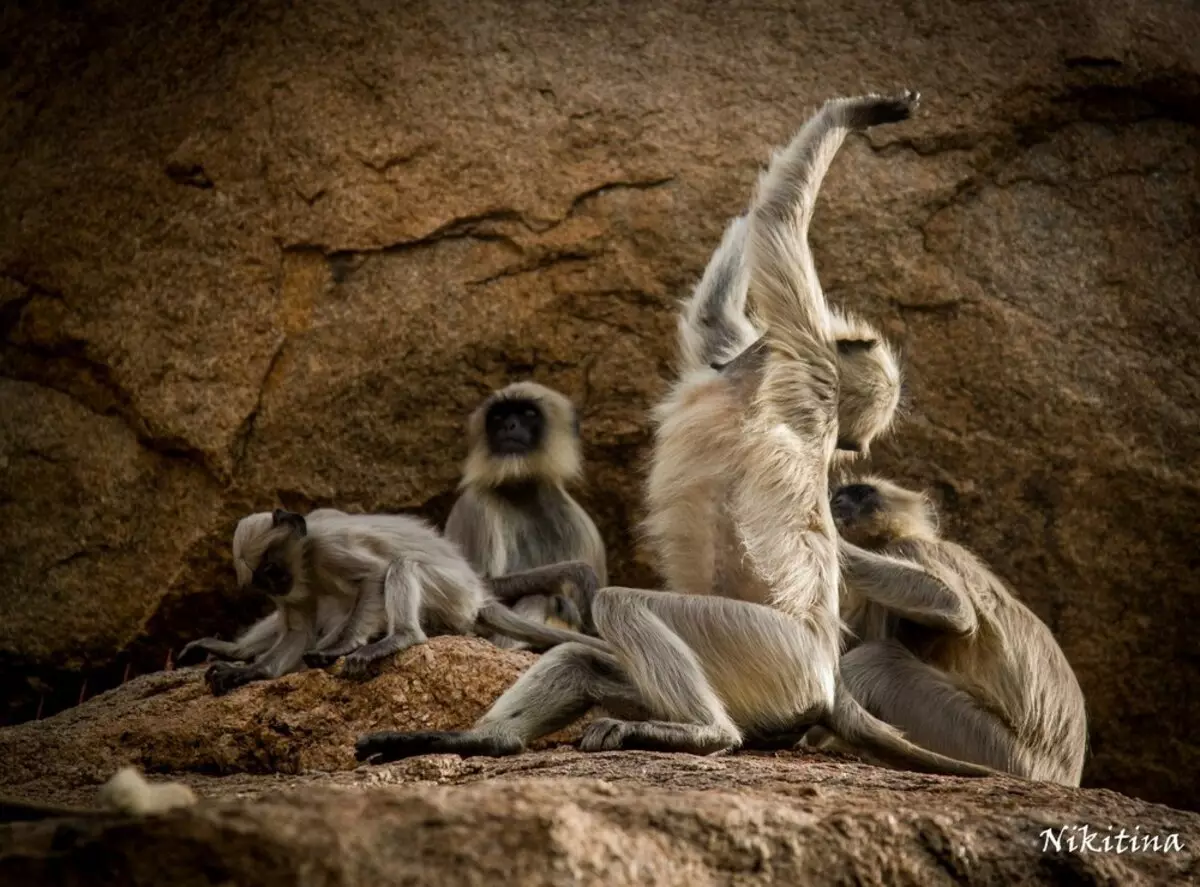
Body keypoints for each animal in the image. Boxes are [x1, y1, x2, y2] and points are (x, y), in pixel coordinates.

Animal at [178, 506, 614, 696]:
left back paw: (400, 637)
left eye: (271, 567)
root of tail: (478, 594)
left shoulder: (330, 547)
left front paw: (339, 648)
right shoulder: (298, 587)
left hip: (452, 595)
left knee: (400, 565)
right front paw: (246, 671)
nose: (276, 584)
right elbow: (297, 632)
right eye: (262, 578)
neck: (307, 561)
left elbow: (373, 576)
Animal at [444, 381, 609, 643]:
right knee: (539, 597)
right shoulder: (474, 505)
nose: (508, 426)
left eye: (528, 414)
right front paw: (576, 572)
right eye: (498, 416)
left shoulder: (580, 523)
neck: (521, 492)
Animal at [820, 477, 1094, 782]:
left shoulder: (911, 547)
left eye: (862, 493)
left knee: (877, 661)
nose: (837, 503)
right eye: (839, 495)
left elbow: (955, 608)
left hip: (992, 746)